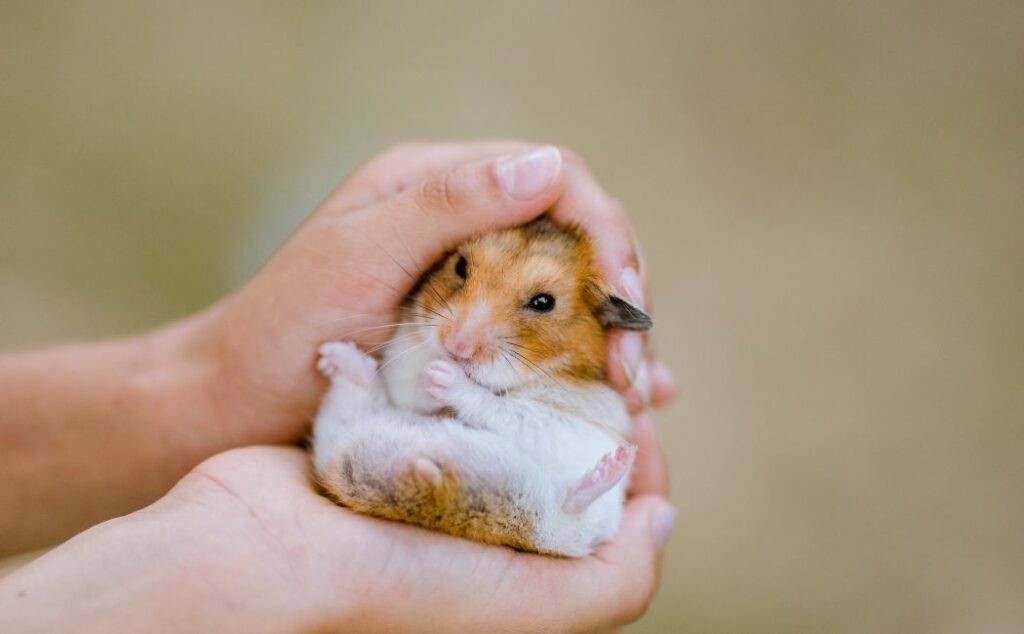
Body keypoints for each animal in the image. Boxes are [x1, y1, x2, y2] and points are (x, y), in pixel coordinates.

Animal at [311, 216, 653, 556]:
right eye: (460, 266)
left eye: (544, 302)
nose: (456, 347)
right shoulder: (402, 365)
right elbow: (411, 386)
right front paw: (433, 373)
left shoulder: (564, 423)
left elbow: (502, 407)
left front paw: (443, 376)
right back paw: (337, 358)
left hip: (575, 524)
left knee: (572, 508)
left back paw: (613, 465)